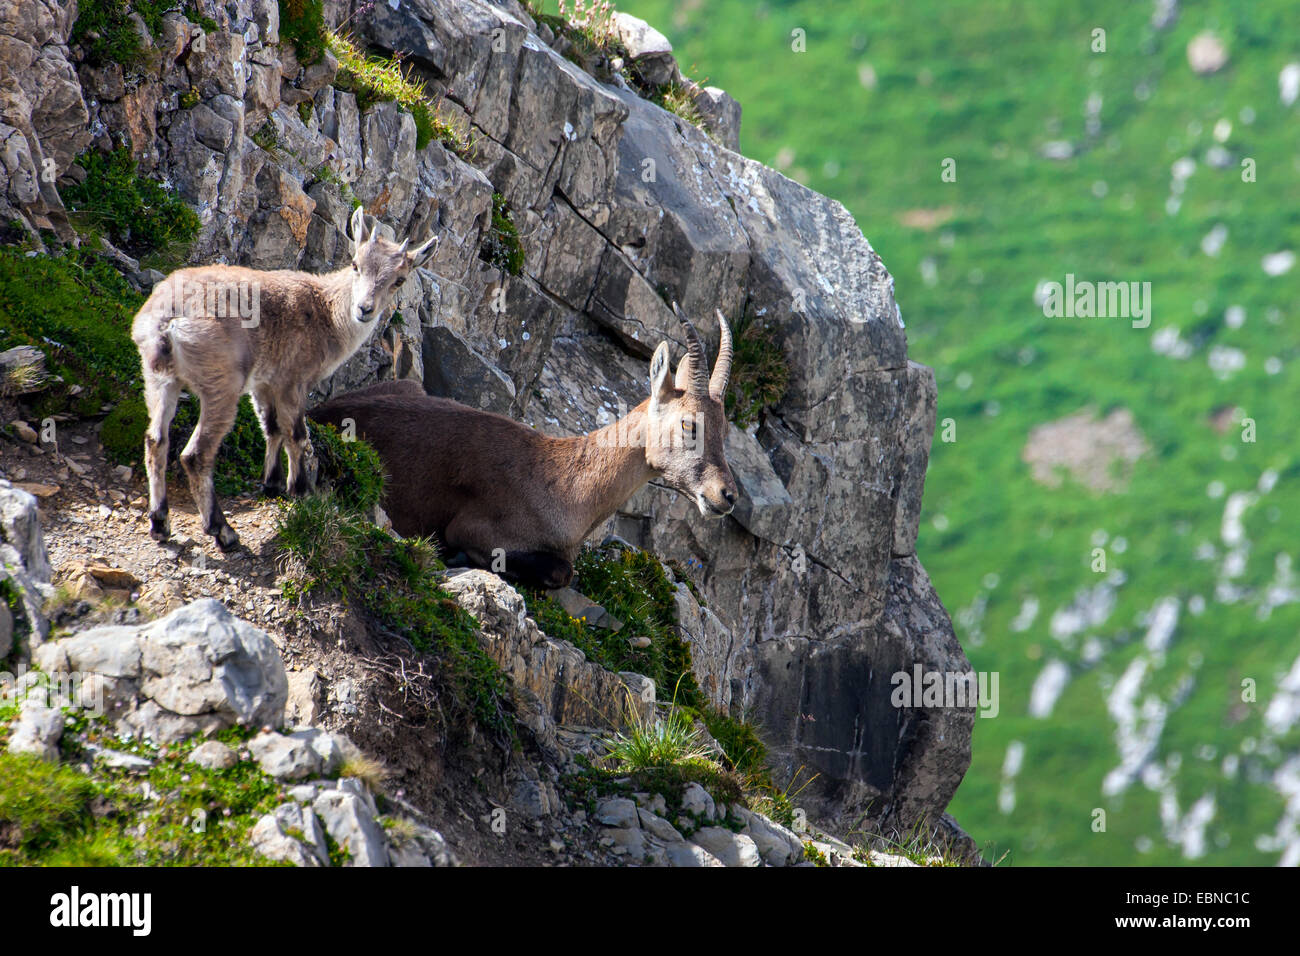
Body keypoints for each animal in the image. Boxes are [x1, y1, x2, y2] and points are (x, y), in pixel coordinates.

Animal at [131, 207, 437, 551]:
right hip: (222, 383)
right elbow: (298, 435)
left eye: (399, 280)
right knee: (196, 455)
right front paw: (300, 490)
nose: (364, 309)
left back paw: (160, 522)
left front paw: (272, 483)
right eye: (356, 264)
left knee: (156, 440)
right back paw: (222, 530)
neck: (326, 312)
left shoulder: (265, 383)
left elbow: (272, 427)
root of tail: (168, 318)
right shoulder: (294, 381)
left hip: (158, 377)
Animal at [310, 305, 739, 588]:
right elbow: (560, 571)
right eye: (689, 424)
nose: (727, 495)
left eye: (724, 430)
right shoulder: (478, 528)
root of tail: (321, 411)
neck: (567, 485)